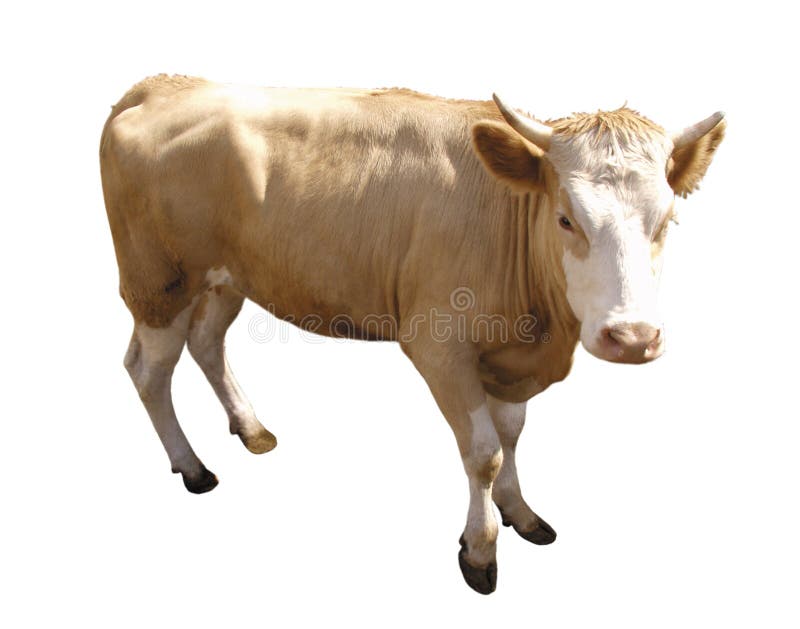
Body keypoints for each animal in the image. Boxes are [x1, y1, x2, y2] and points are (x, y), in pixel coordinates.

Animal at [99, 75, 725, 594]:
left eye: (666, 221)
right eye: (566, 218)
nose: (633, 337)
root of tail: (163, 85)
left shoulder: (511, 357)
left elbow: (513, 434)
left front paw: (519, 511)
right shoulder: (439, 345)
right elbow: (484, 453)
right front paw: (480, 549)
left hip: (226, 276)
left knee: (206, 344)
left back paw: (251, 429)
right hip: (159, 280)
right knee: (148, 370)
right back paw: (193, 466)